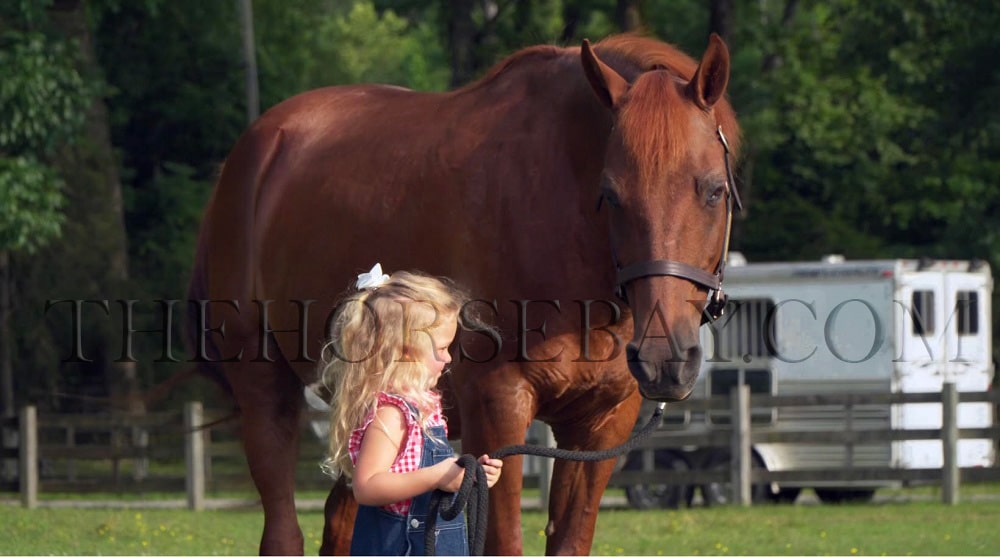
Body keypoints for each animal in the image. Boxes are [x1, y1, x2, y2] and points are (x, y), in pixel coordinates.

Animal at [187, 32, 741, 555]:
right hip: (266, 390)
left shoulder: (601, 425)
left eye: (714, 189)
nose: (666, 361)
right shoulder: (498, 411)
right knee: (283, 531)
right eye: (609, 194)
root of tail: (254, 150)